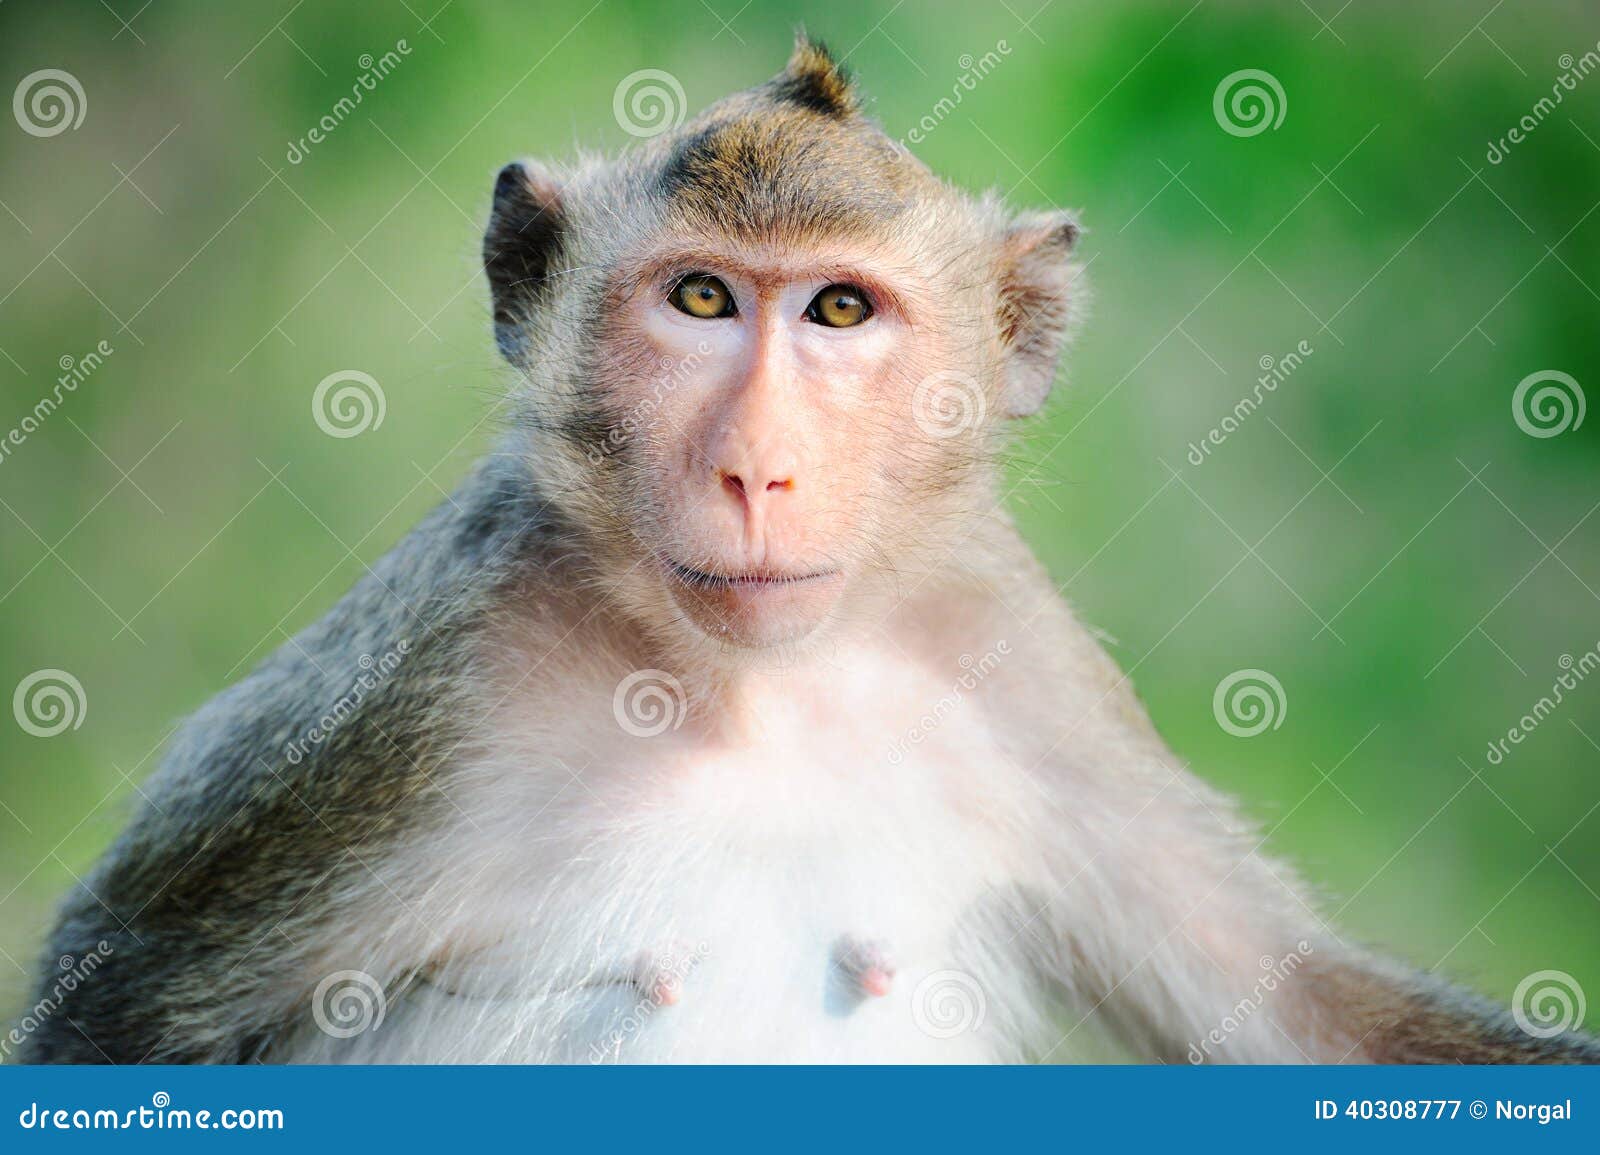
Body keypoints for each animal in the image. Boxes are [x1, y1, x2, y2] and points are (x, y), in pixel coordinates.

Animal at [17, 37, 1597, 1065]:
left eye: (840, 311)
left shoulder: (1009, 643)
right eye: (702, 299)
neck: (745, 692)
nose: (757, 463)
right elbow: (114, 1004)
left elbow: (1299, 1008)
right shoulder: (410, 693)